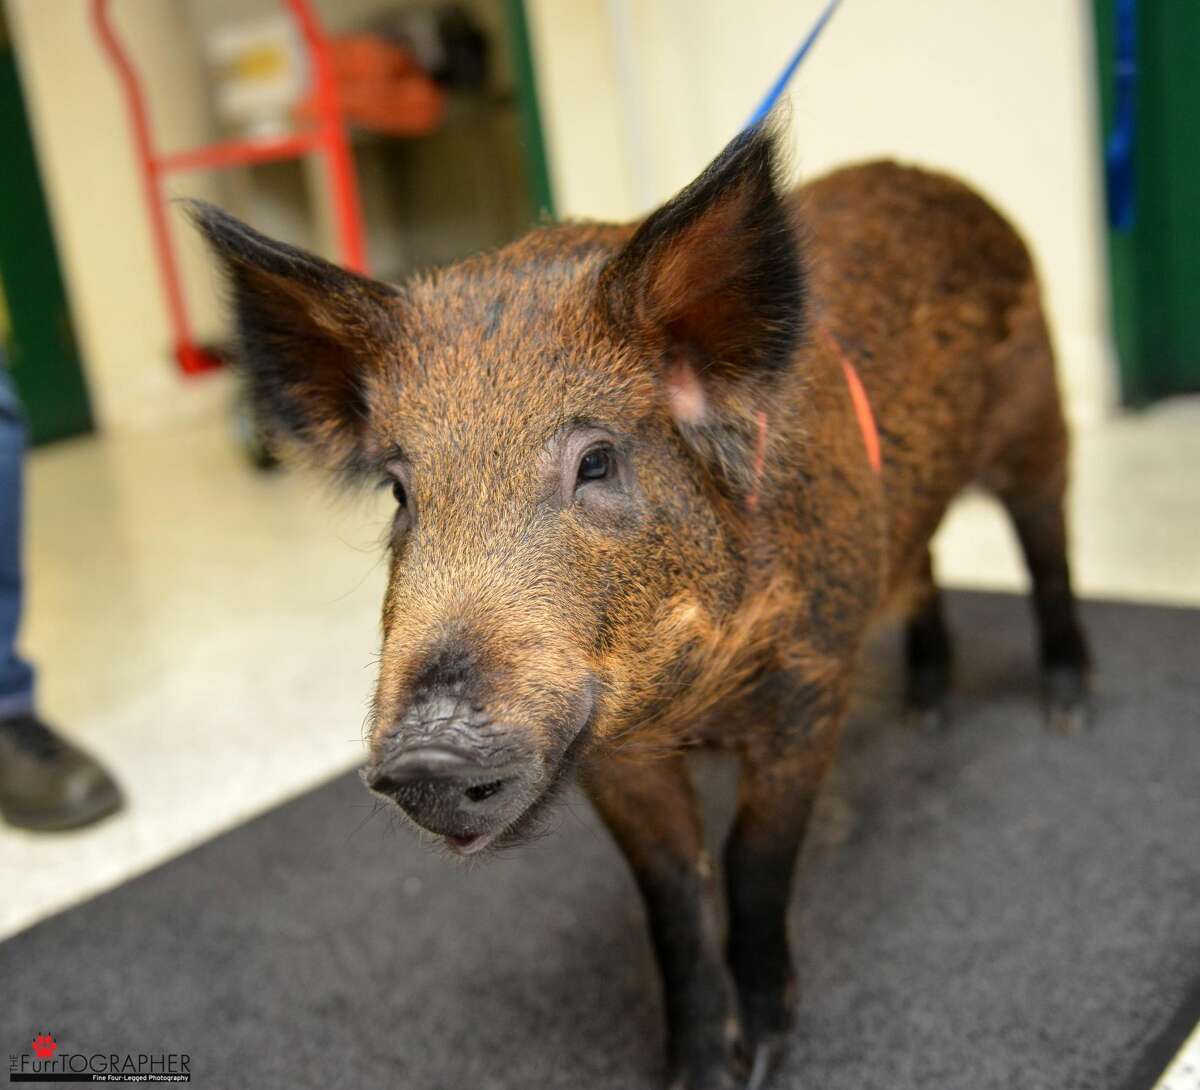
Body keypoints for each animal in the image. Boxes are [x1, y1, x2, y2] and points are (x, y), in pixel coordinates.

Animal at [191, 119, 1091, 1090]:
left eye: (597, 462)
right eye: (400, 491)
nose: (429, 751)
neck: (690, 709)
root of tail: (947, 185)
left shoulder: (811, 687)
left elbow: (751, 864)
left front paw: (765, 1058)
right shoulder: (612, 761)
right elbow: (673, 894)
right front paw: (696, 1073)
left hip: (1038, 423)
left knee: (1048, 551)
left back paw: (1066, 711)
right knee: (923, 560)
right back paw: (927, 709)